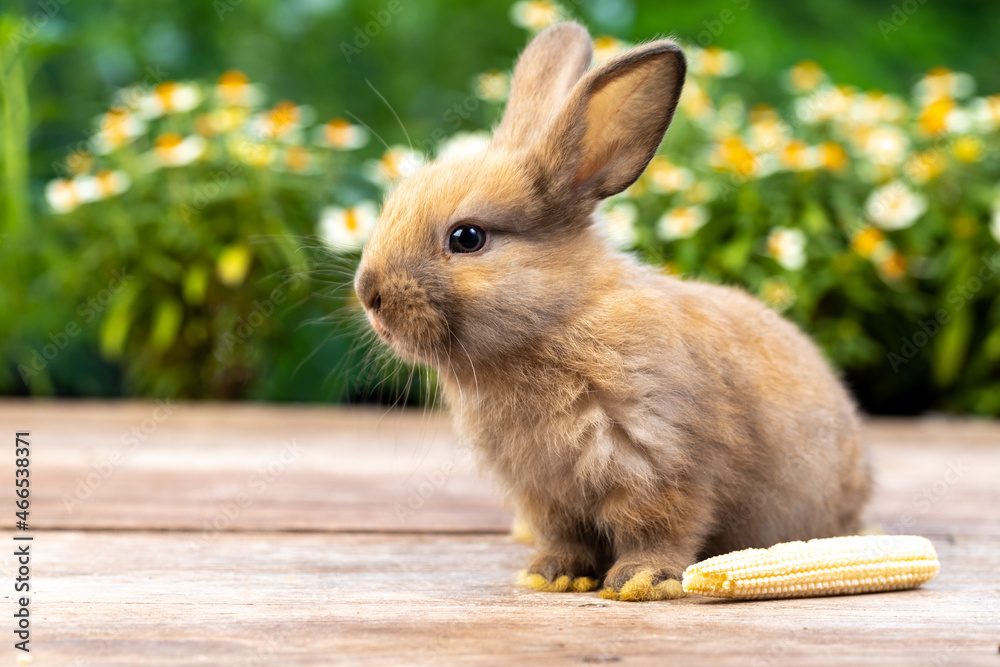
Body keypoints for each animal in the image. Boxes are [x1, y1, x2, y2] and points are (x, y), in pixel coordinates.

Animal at [354, 21, 872, 601]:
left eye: (467, 238)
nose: (368, 294)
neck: (557, 321)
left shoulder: (661, 462)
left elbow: (659, 530)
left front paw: (640, 582)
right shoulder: (544, 492)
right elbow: (564, 536)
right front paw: (551, 575)